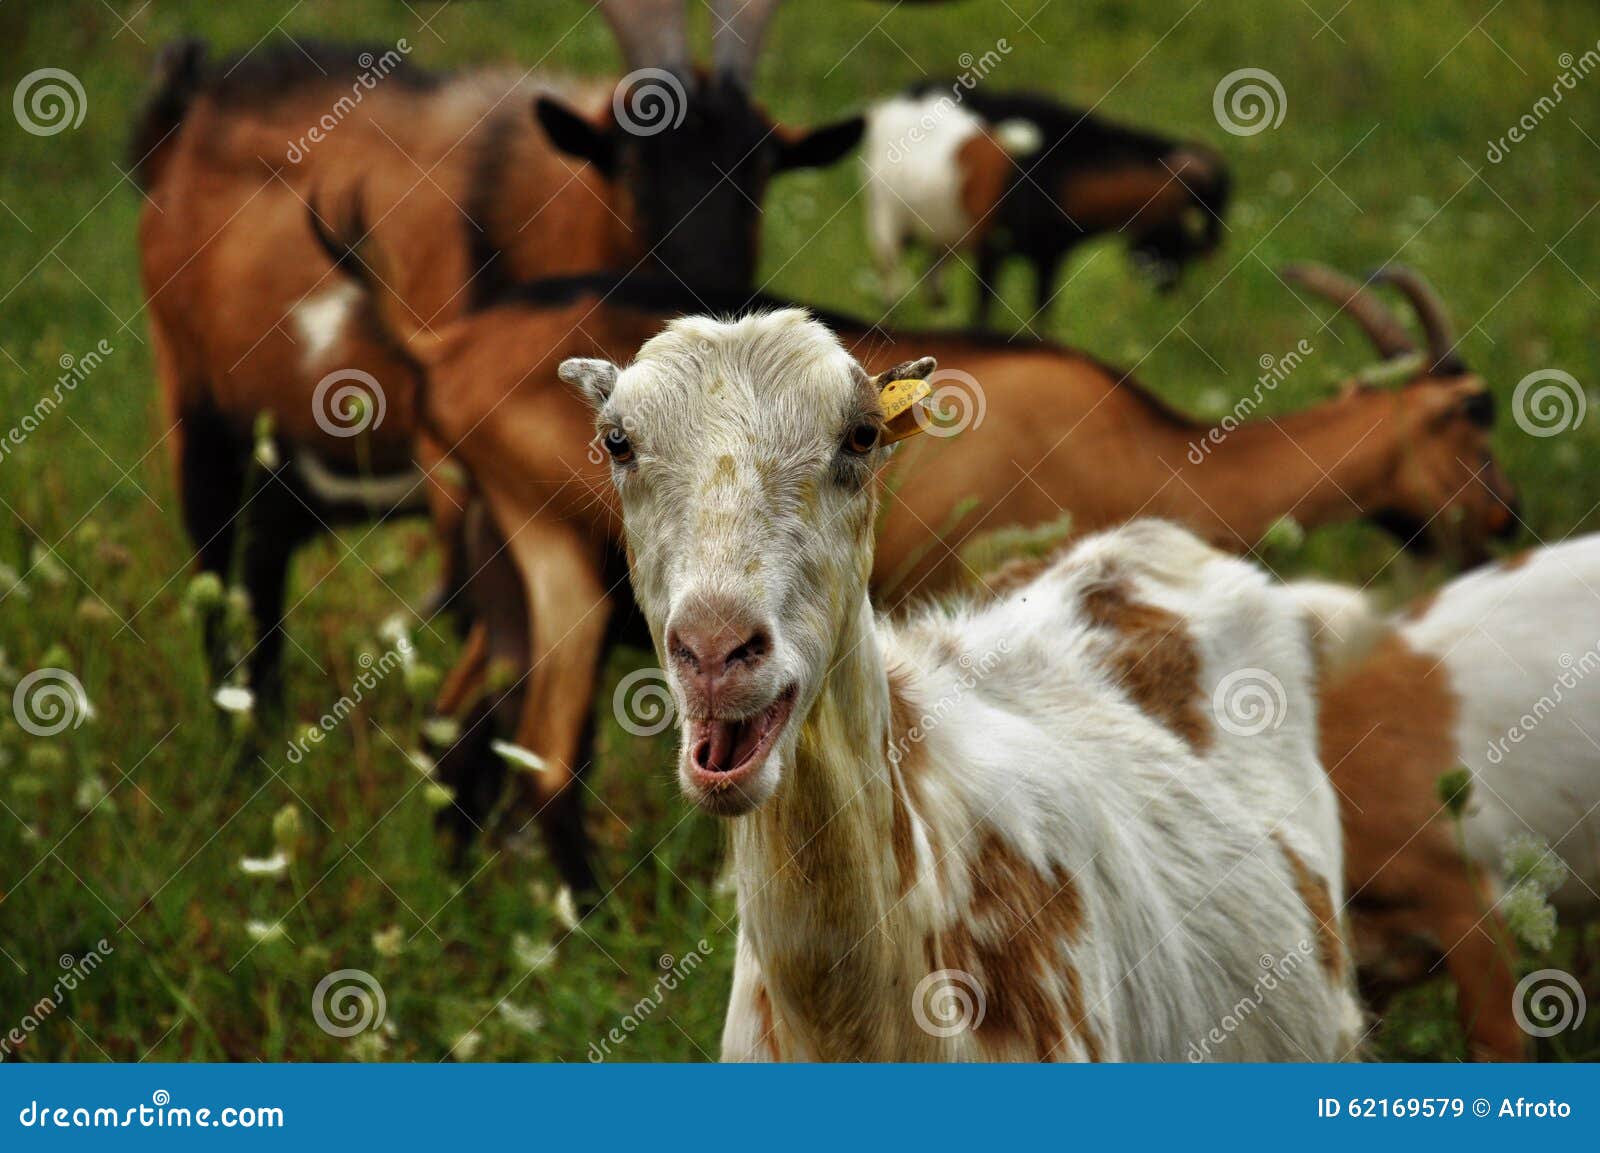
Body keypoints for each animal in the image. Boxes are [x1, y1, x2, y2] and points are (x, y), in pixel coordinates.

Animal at [131, 0, 864, 707]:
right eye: (628, 164)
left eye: (761, 168)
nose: (715, 297)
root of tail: (188, 101)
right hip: (193, 402)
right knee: (216, 567)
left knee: (265, 558)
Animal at [863, 83, 1230, 325]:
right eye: (1195, 215)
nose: (1170, 291)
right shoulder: (991, 250)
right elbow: (982, 314)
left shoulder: (1049, 258)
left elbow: (1042, 314)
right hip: (886, 219)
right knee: (891, 283)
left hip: (942, 237)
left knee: (933, 288)